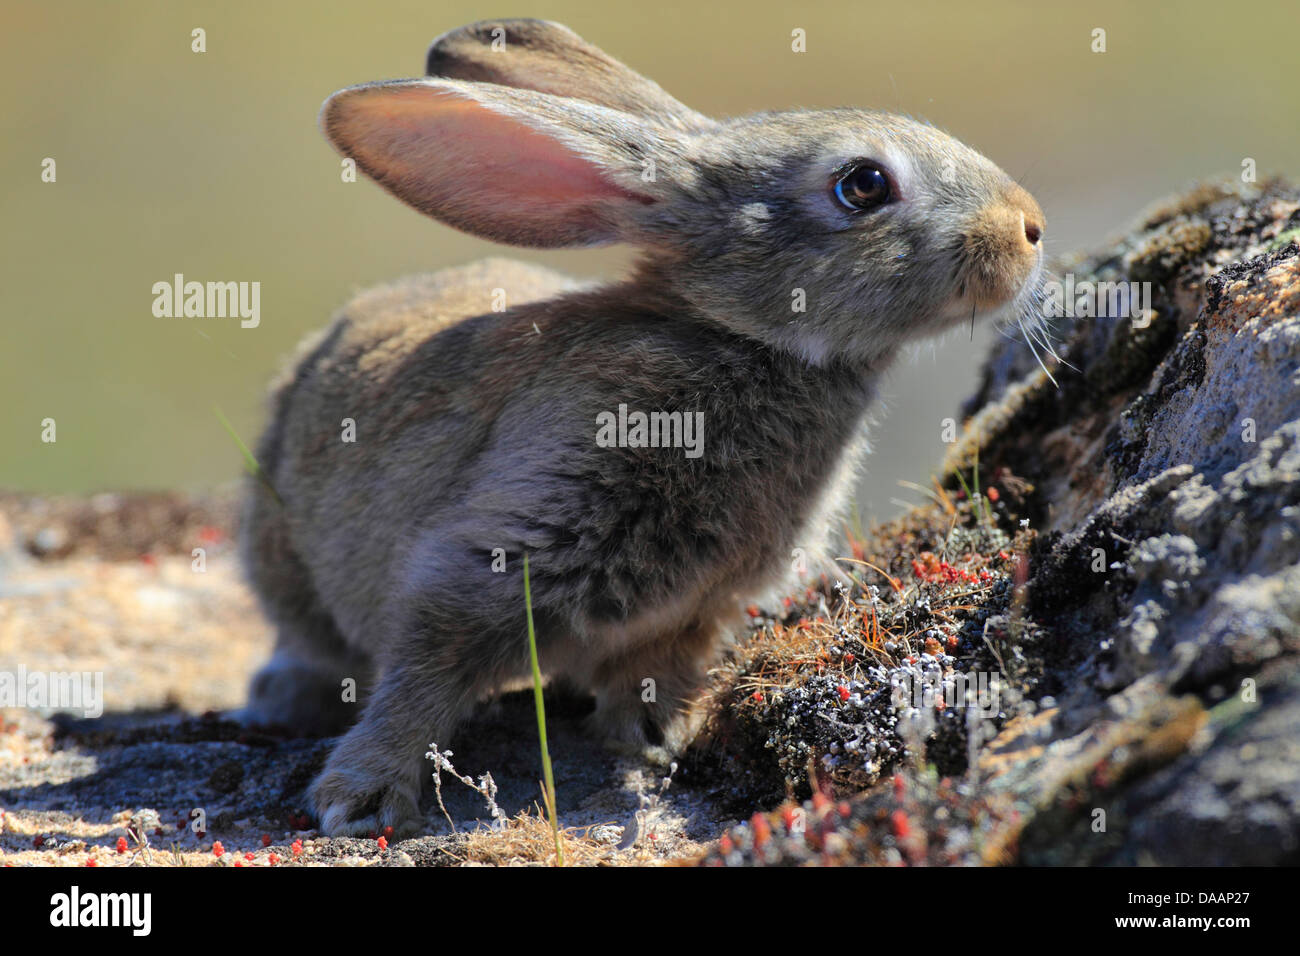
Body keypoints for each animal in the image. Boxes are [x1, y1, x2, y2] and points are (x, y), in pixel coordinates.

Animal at [238, 18, 1046, 836]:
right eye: (864, 185)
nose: (1030, 227)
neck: (741, 337)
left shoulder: (698, 608)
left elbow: (658, 670)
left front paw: (661, 735)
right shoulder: (491, 559)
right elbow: (425, 675)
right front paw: (362, 799)